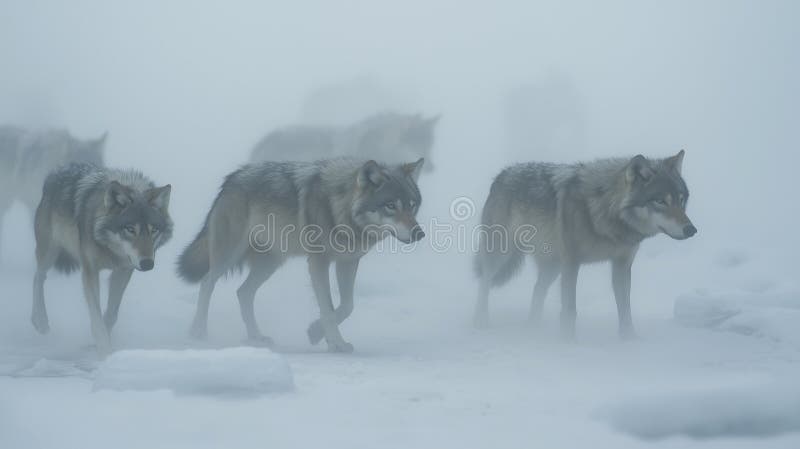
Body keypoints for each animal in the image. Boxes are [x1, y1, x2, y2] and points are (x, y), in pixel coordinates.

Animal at [32, 163, 173, 356]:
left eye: (154, 230)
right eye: (130, 229)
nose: (147, 264)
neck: (110, 250)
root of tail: (56, 171)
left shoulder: (123, 271)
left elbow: (111, 314)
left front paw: (99, 344)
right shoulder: (90, 271)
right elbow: (96, 317)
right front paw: (105, 351)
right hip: (49, 252)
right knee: (38, 277)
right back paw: (40, 321)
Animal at [177, 158, 425, 353]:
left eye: (412, 206)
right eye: (391, 206)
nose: (420, 233)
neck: (339, 209)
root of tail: (231, 178)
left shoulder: (348, 261)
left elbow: (347, 306)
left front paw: (315, 332)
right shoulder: (319, 262)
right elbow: (328, 308)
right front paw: (335, 343)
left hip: (272, 261)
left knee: (243, 293)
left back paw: (256, 337)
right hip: (229, 254)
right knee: (207, 283)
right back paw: (198, 331)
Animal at [473, 151, 696, 339]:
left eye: (681, 200)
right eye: (660, 201)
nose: (691, 230)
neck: (604, 213)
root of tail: (502, 174)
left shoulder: (622, 266)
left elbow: (625, 310)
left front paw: (629, 341)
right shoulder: (572, 263)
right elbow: (570, 310)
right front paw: (568, 342)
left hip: (553, 267)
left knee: (537, 290)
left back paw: (533, 329)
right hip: (501, 256)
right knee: (484, 283)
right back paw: (482, 322)